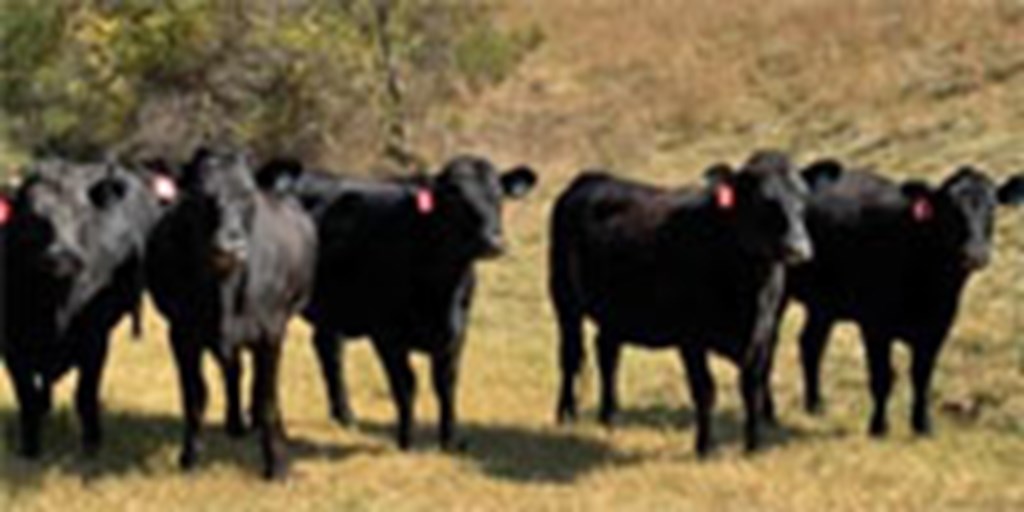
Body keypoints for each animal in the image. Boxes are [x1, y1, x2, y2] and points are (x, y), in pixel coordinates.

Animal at [3, 159, 167, 457]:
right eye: (33, 217)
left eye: (82, 215)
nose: (63, 257)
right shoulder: (12, 346)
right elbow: (27, 398)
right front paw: (30, 447)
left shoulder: (94, 340)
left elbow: (85, 394)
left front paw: (91, 444)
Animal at [145, 147, 315, 480]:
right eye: (197, 195)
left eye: (248, 194)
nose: (229, 244)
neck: (224, 292)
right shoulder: (182, 332)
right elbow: (194, 396)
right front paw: (189, 459)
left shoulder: (271, 331)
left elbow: (265, 398)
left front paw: (276, 465)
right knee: (233, 368)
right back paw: (234, 423)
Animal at [284, 155, 537, 450]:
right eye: (454, 197)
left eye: (499, 195)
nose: (492, 241)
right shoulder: (387, 335)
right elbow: (405, 385)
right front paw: (405, 440)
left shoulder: (457, 332)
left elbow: (446, 384)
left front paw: (449, 441)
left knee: (329, 349)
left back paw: (345, 416)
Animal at [550, 151, 821, 457]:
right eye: (764, 200)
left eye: (804, 199)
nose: (798, 247)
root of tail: (592, 177)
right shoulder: (691, 338)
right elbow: (705, 390)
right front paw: (704, 448)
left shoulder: (763, 333)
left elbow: (752, 387)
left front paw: (753, 447)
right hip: (564, 298)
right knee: (570, 354)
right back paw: (566, 414)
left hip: (613, 312)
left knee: (607, 352)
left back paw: (608, 417)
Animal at [790, 161, 1024, 437]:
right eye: (950, 209)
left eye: (992, 206)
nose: (974, 254)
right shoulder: (875, 325)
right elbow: (883, 376)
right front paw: (878, 427)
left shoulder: (937, 328)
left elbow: (921, 376)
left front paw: (923, 425)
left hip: (823, 305)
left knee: (810, 344)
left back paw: (815, 405)